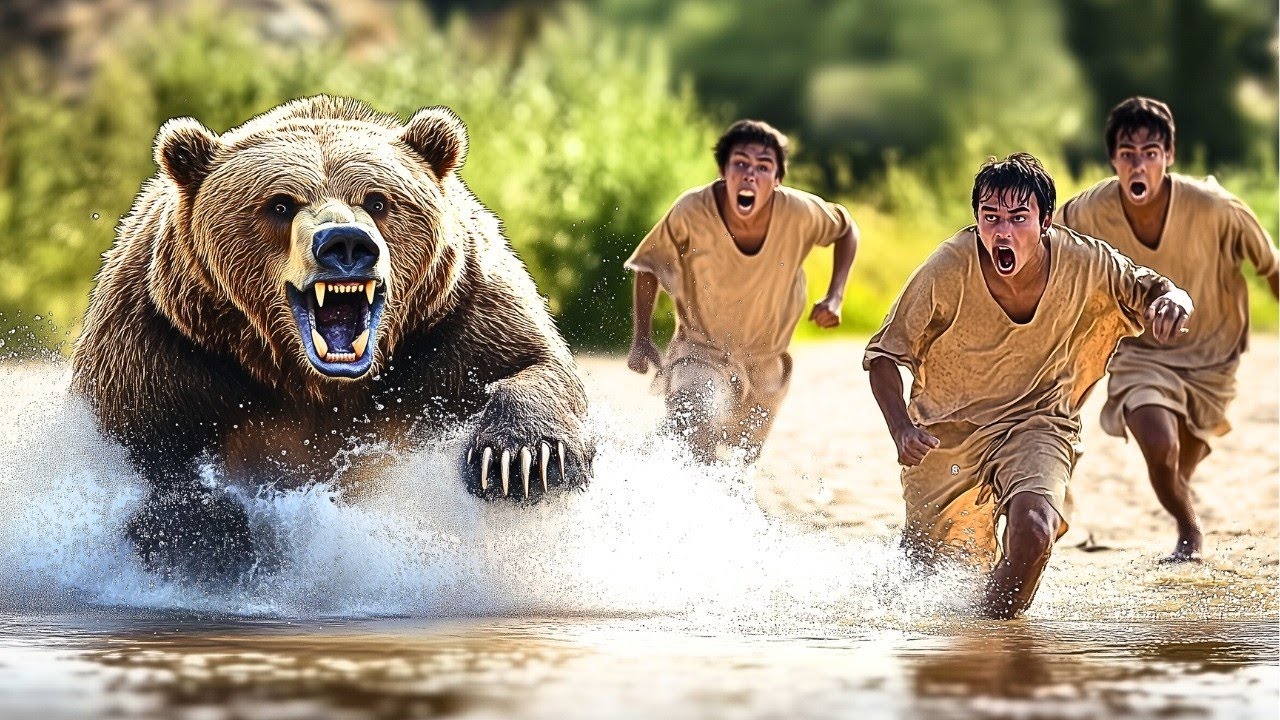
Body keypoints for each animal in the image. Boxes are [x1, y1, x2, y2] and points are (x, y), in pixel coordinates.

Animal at [71, 95, 594, 582]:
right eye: (280, 204)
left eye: (378, 201)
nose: (345, 243)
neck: (314, 382)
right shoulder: (170, 337)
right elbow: (144, 440)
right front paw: (206, 539)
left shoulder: (453, 320)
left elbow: (533, 362)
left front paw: (520, 460)